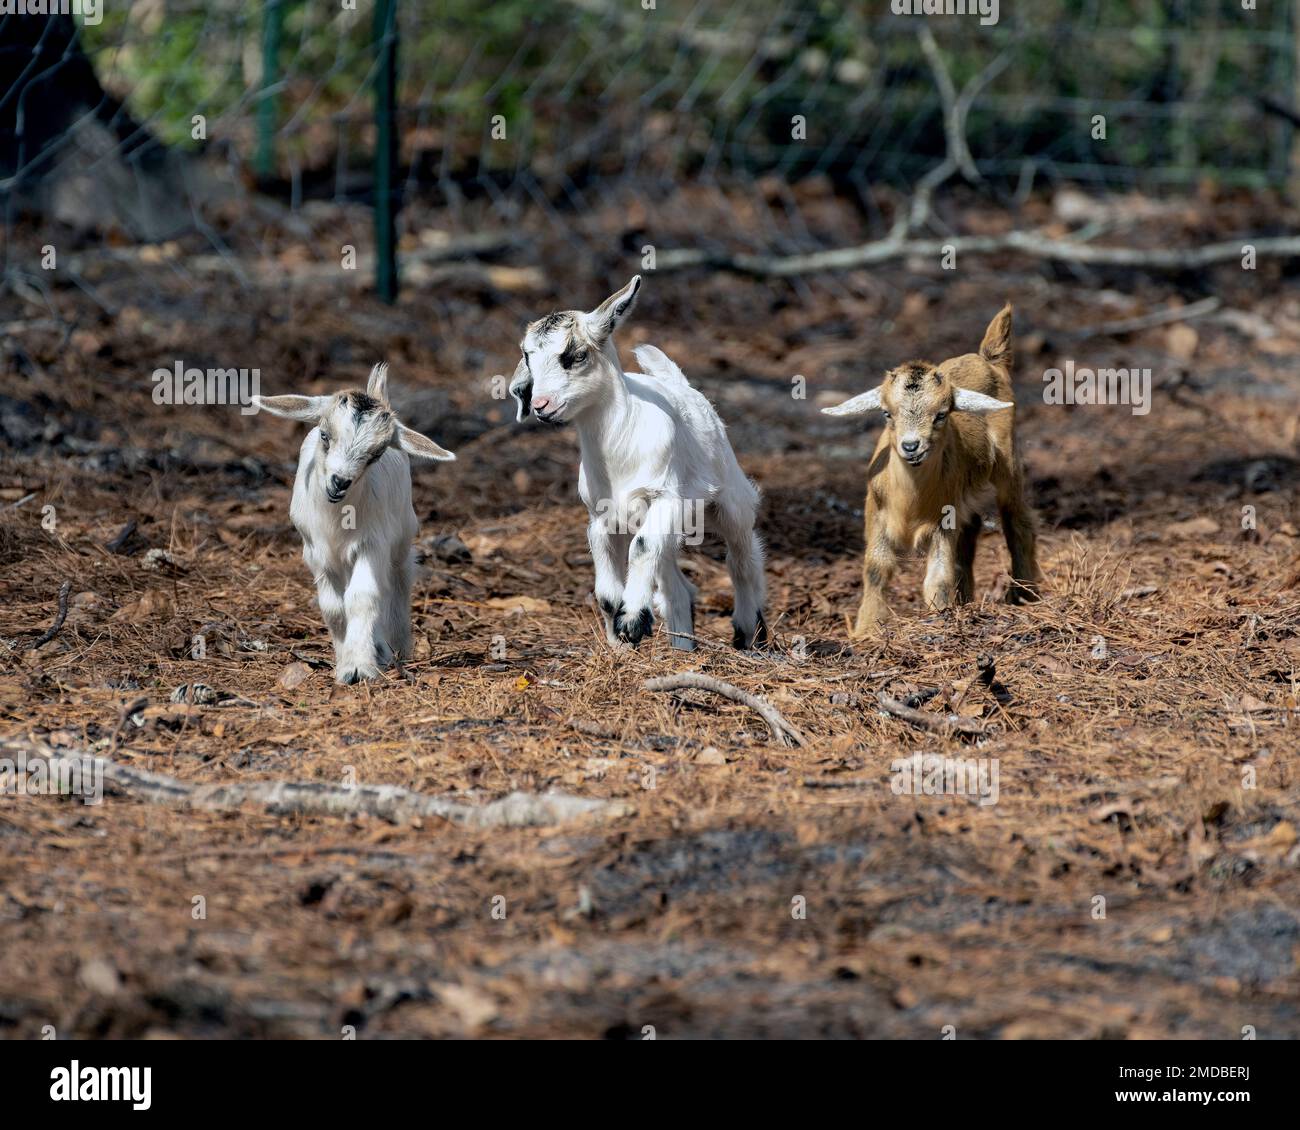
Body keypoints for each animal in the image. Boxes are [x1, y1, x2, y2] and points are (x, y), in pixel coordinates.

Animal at [251, 364, 455, 683]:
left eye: (376, 454)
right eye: (325, 435)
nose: (339, 482)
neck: (337, 518)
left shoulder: (372, 543)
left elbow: (362, 597)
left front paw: (358, 667)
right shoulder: (315, 551)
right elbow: (333, 608)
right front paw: (345, 658)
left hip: (401, 536)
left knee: (398, 580)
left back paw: (395, 648)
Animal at [509, 275, 766, 652]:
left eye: (576, 355)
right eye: (528, 358)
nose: (541, 405)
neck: (617, 448)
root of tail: (679, 383)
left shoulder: (665, 496)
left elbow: (641, 548)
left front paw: (631, 621)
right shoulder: (601, 518)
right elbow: (606, 593)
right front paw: (619, 644)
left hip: (729, 502)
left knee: (742, 560)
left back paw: (748, 632)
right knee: (677, 587)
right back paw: (683, 648)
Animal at [821, 303, 1041, 637]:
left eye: (941, 414)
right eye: (886, 413)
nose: (912, 446)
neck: (910, 504)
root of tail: (987, 359)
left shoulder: (943, 520)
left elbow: (937, 578)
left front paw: (938, 619)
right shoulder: (876, 514)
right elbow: (876, 569)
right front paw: (866, 629)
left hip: (1008, 465)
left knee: (1018, 520)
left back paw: (1024, 595)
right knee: (971, 532)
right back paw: (967, 600)